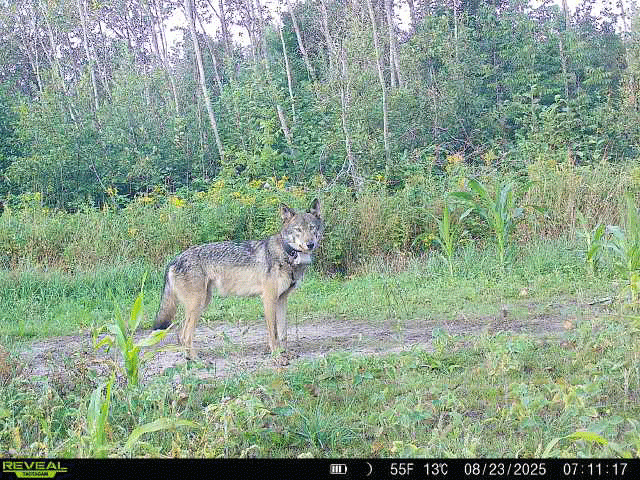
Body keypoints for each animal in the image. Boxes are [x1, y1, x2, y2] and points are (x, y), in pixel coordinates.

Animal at [154, 199, 323, 362]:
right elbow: (273, 333)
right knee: (184, 335)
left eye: (312, 228)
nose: (310, 244)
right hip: (197, 305)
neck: (288, 254)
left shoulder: (282, 299)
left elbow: (283, 333)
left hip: (203, 303)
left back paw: (189, 357)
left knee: (180, 333)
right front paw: (277, 356)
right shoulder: (269, 299)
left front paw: (285, 353)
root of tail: (174, 260)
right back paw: (196, 360)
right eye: (298, 229)